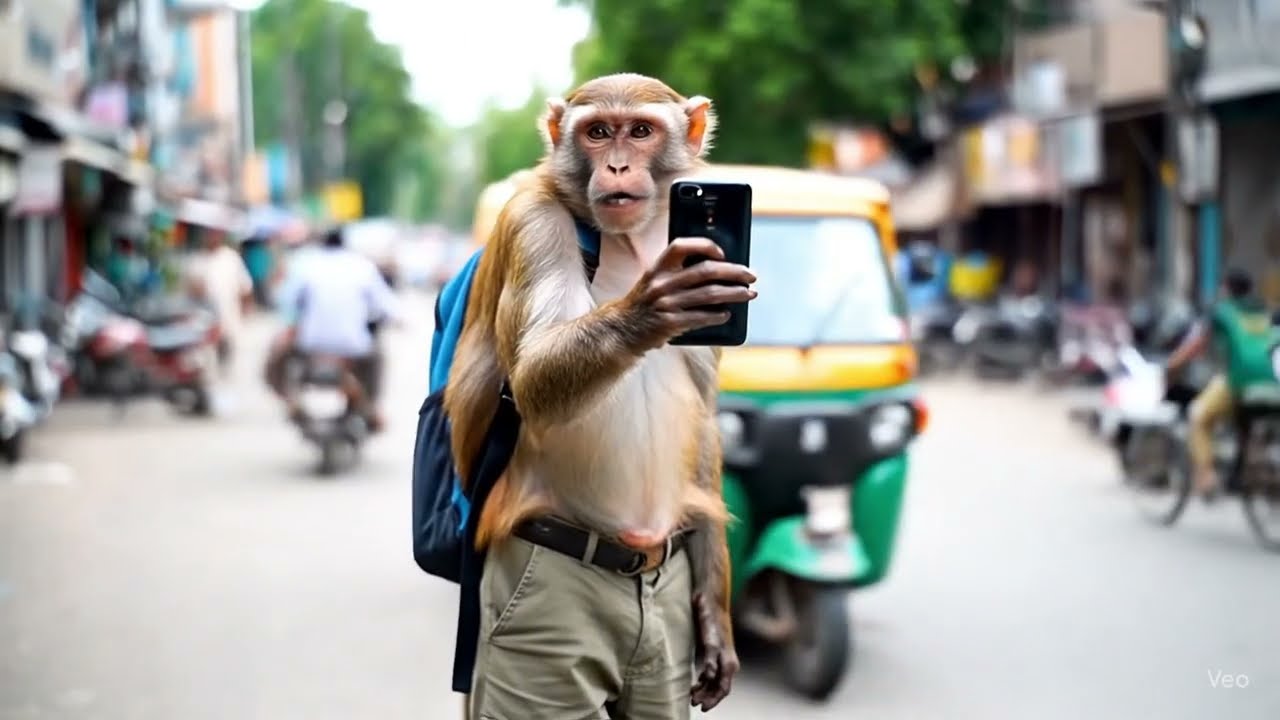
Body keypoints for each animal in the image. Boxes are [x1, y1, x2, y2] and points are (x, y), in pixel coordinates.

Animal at [445, 73, 755, 718]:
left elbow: (706, 418)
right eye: (596, 132)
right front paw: (652, 306)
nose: (615, 165)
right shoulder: (533, 225)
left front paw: (715, 623)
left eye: (638, 131)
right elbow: (533, 382)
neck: (630, 247)